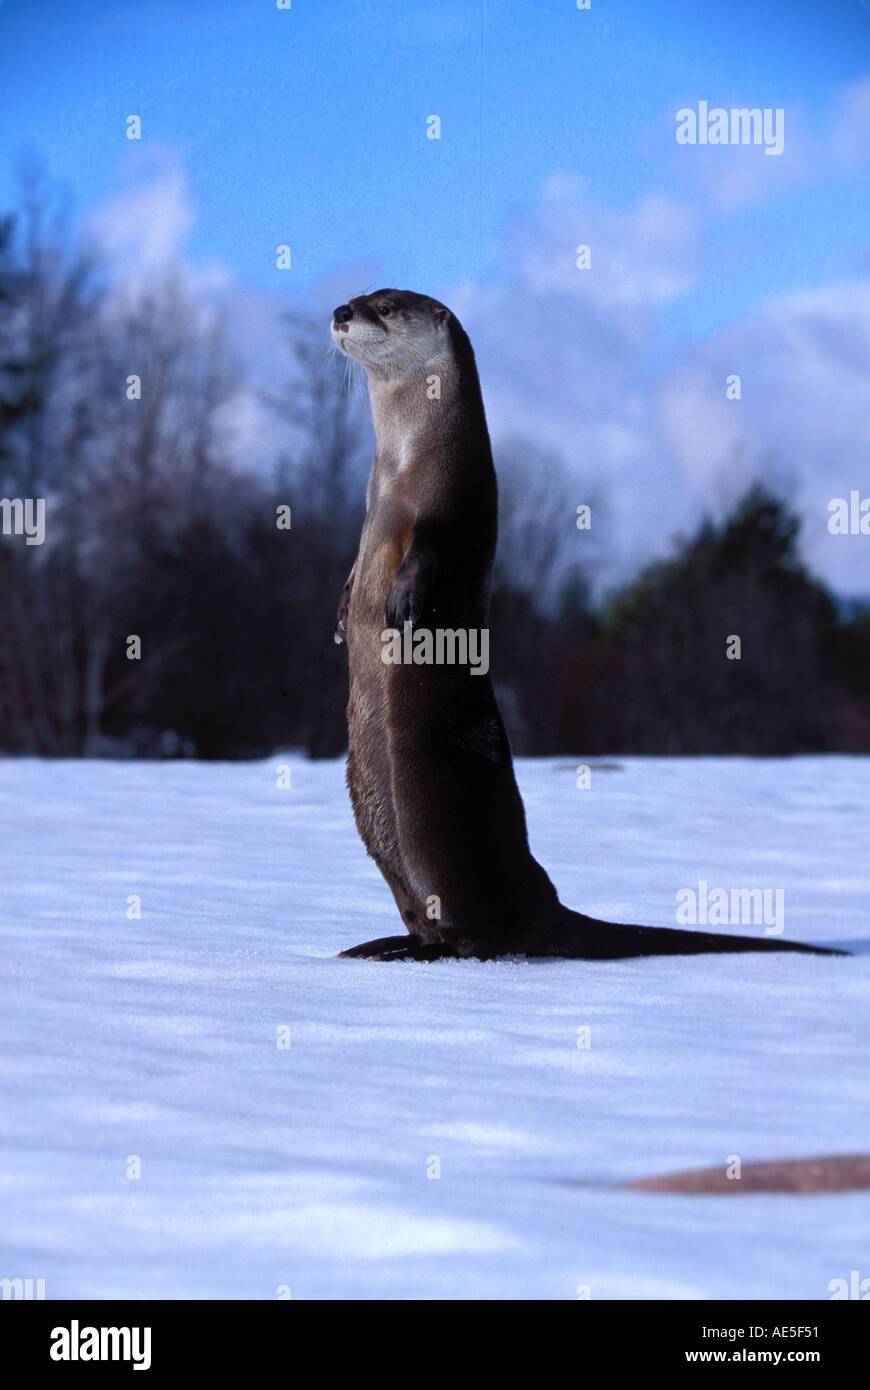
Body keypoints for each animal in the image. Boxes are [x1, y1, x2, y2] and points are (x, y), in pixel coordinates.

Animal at [330, 289, 842, 962]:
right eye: (359, 296)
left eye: (386, 306)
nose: (341, 312)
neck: (401, 475)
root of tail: (544, 898)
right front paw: (343, 609)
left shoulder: (452, 511)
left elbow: (432, 558)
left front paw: (403, 604)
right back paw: (380, 942)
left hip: (433, 821)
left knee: (479, 931)